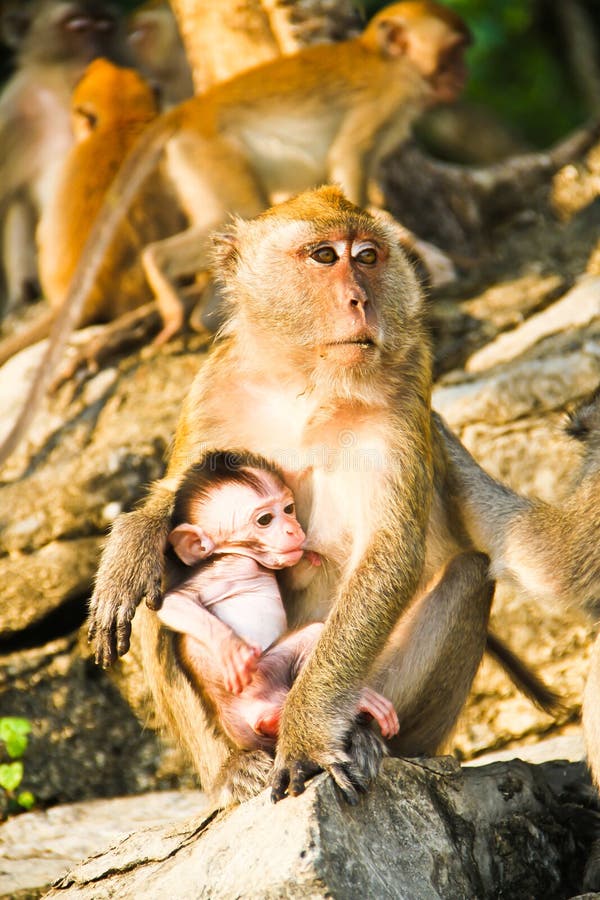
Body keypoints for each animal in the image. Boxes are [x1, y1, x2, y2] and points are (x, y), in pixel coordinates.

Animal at [159, 449, 399, 750]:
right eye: (265, 520)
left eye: (288, 509)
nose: (294, 529)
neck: (246, 557)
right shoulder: (228, 567)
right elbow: (174, 601)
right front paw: (231, 650)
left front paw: (309, 558)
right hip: (261, 679)